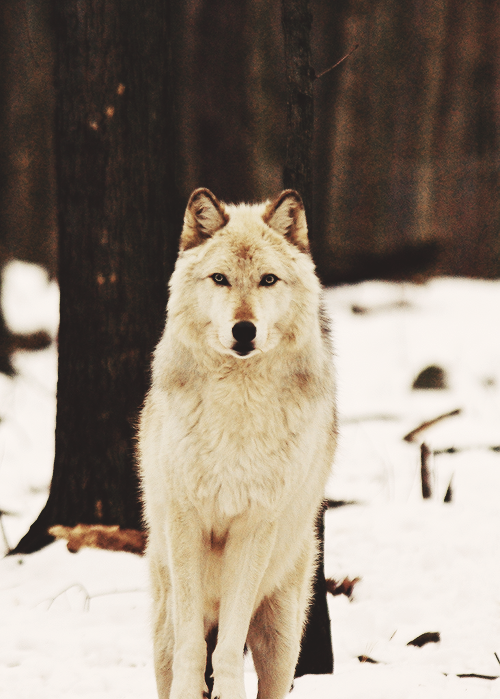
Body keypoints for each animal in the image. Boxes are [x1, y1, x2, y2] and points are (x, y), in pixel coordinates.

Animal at [138, 187, 337, 699]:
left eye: (268, 279)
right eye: (220, 279)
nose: (243, 329)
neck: (237, 409)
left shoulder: (254, 528)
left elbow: (226, 653)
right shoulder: (186, 522)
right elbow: (193, 652)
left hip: (283, 637)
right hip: (163, 616)